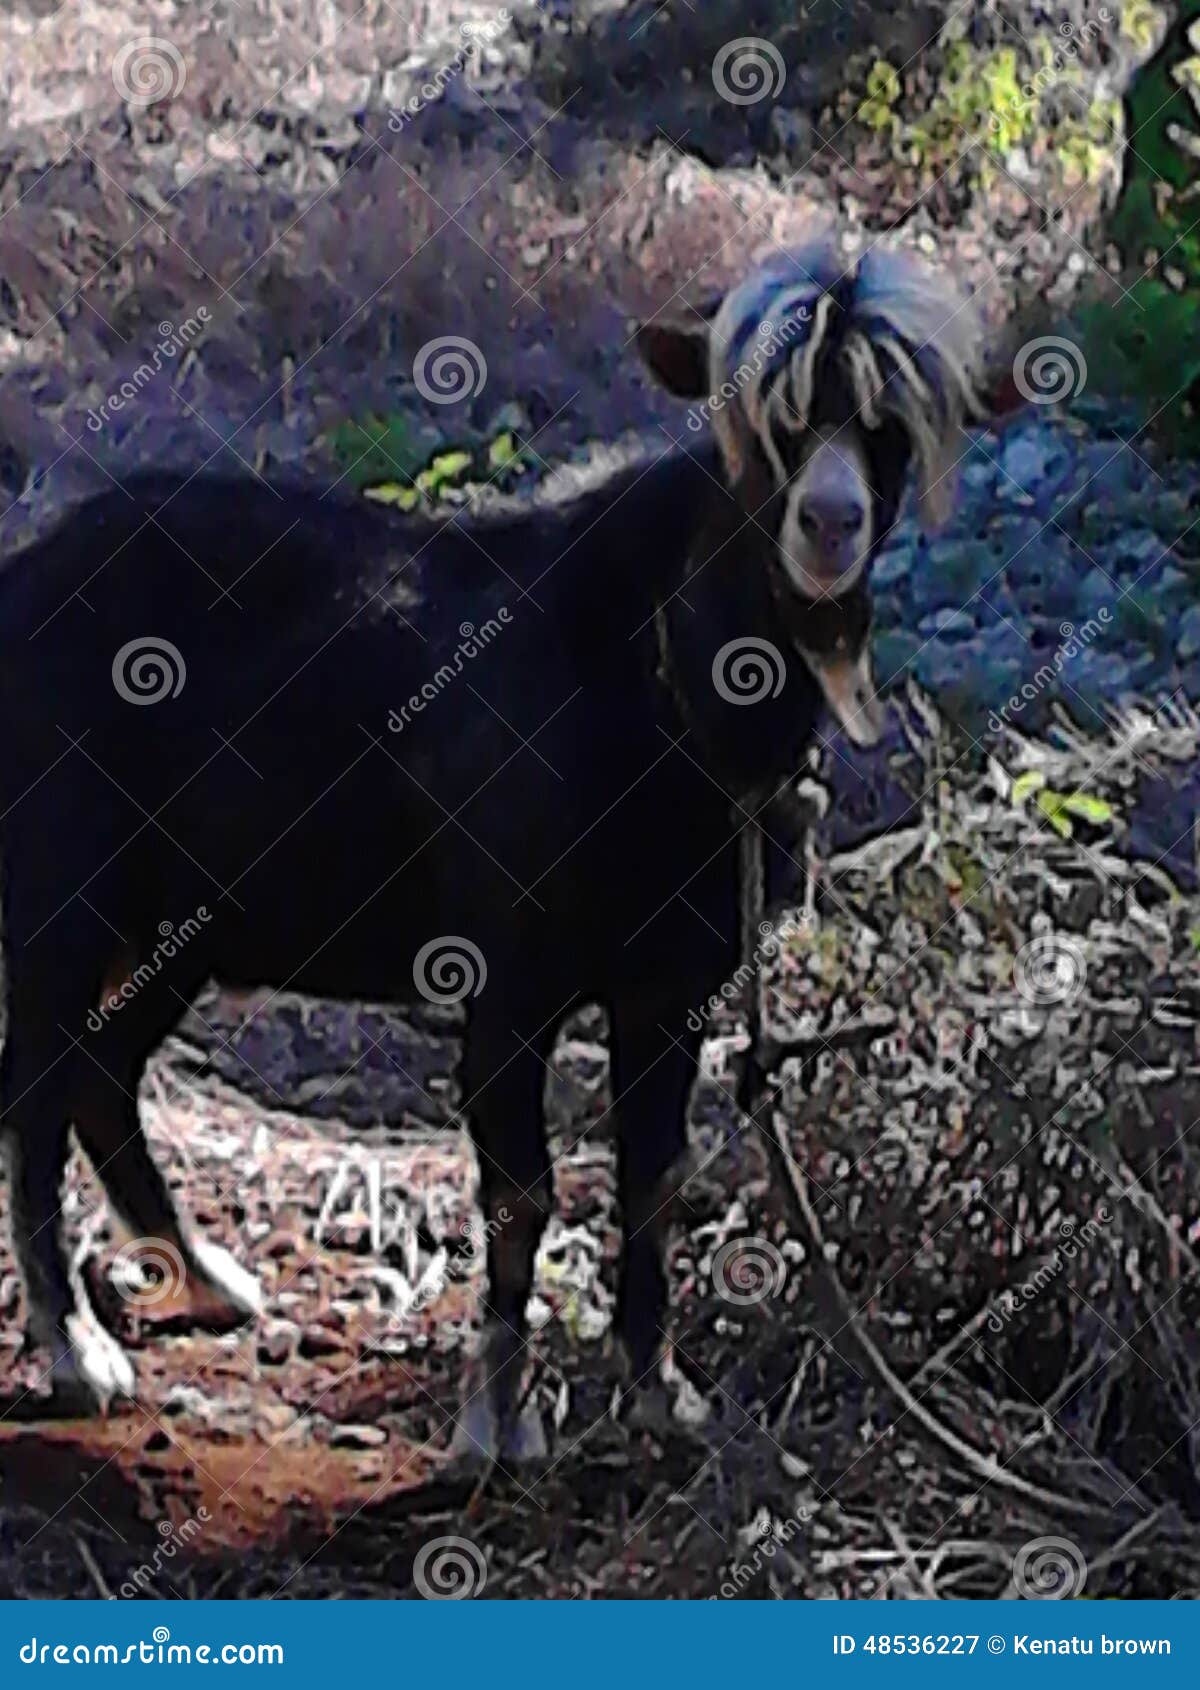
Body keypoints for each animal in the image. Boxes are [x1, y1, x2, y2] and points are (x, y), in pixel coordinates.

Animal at [0, 237, 980, 1463]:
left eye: (887, 427)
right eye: (765, 422)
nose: (830, 523)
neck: (665, 678)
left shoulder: (676, 989)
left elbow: (653, 1179)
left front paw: (660, 1392)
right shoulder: (509, 981)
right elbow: (524, 1194)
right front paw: (493, 1425)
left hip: (180, 919)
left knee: (101, 1076)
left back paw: (210, 1281)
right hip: (61, 894)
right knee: (35, 1097)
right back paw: (76, 1352)